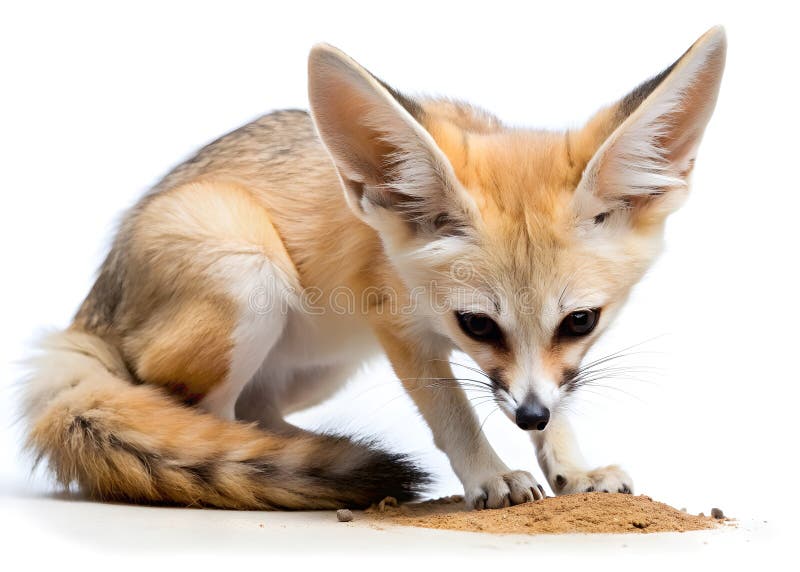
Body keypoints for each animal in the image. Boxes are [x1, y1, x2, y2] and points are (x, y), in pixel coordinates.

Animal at [21, 27, 726, 510]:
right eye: (476, 325)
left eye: (581, 321)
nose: (529, 417)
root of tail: (87, 319)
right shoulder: (400, 329)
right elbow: (454, 412)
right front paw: (491, 475)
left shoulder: (545, 371)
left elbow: (563, 402)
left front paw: (573, 470)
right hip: (249, 270)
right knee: (201, 414)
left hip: (323, 365)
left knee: (253, 411)